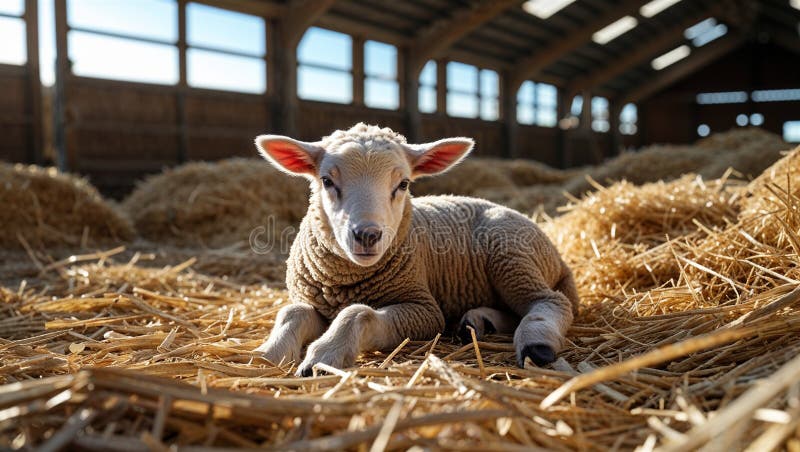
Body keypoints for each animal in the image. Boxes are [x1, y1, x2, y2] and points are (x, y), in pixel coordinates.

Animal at [254, 123, 579, 376]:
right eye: (326, 181)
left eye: (403, 184)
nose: (367, 235)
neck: (344, 284)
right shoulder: (315, 301)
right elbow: (292, 312)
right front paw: (269, 353)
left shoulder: (424, 308)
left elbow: (359, 312)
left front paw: (324, 355)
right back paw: (477, 322)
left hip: (510, 254)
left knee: (550, 300)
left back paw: (536, 342)